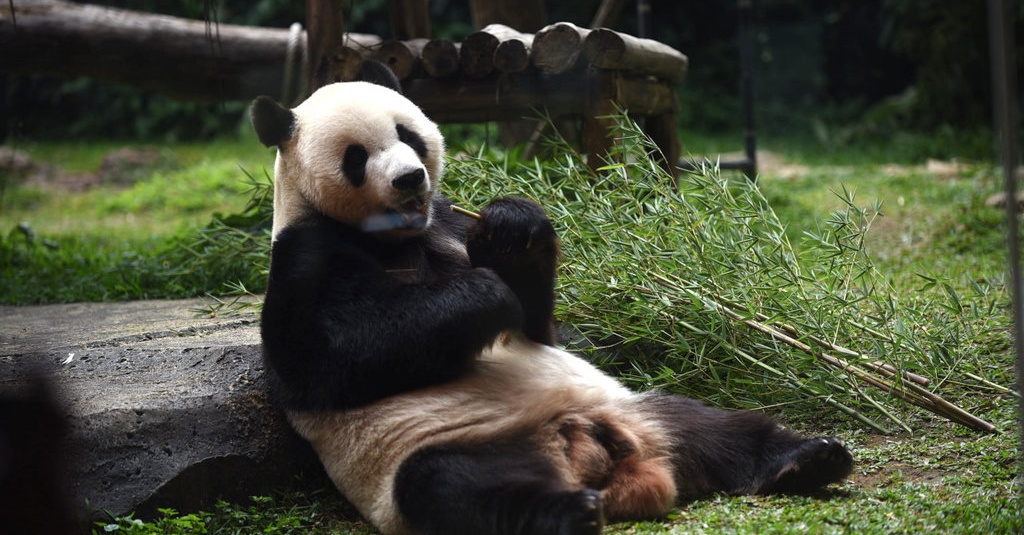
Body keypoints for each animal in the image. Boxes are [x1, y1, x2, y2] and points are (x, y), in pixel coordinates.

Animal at [250, 60, 853, 535]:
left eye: (408, 134)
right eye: (356, 157)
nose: (409, 179)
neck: (400, 236)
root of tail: (589, 452)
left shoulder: (444, 224)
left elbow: (539, 326)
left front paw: (513, 228)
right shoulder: (308, 254)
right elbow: (327, 358)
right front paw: (482, 294)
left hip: (636, 406)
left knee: (717, 429)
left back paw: (809, 458)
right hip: (432, 450)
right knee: (458, 488)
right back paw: (569, 511)